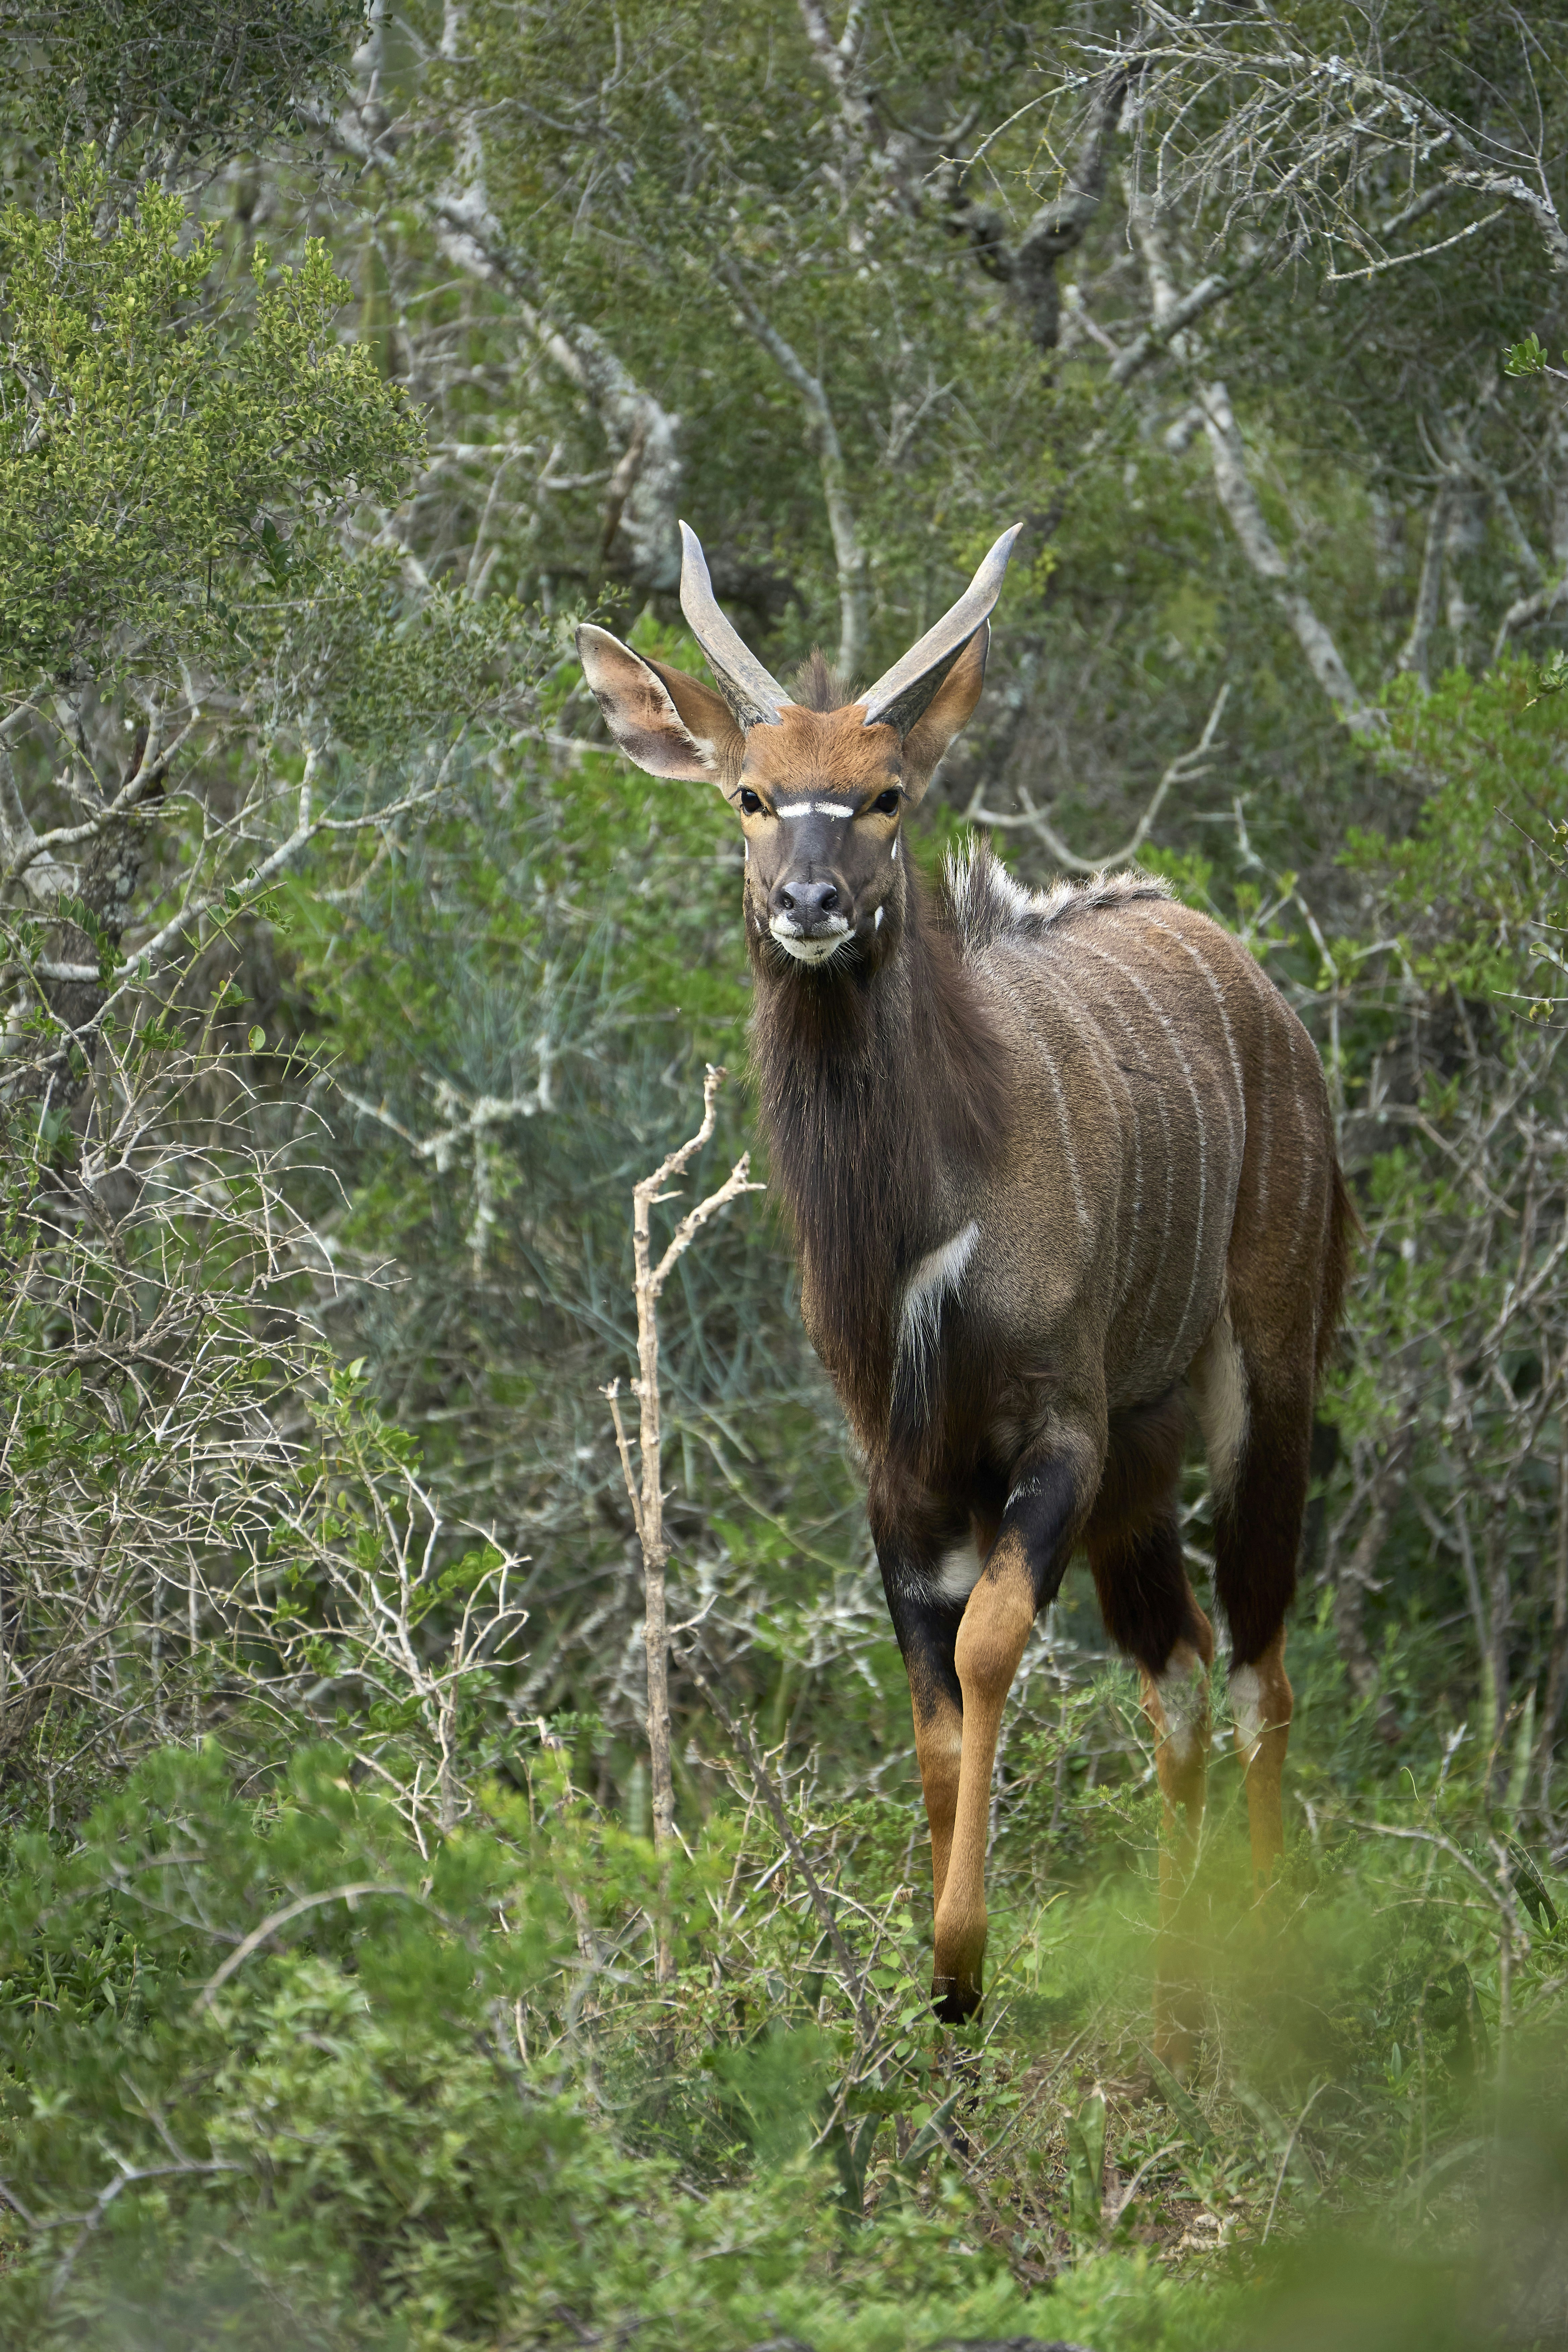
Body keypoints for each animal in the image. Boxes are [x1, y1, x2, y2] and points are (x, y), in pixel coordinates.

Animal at [578, 523, 1350, 2041]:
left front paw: (960, 1953)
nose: (810, 904)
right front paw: (940, 1993)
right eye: (752, 794)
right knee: (1177, 1670)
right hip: (1145, 1462)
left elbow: (991, 1648)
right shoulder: (902, 1464)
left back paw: (1257, 1962)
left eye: (884, 796)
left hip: (1257, 1386)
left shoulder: (1055, 1425)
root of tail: (1270, 1007)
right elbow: (931, 1705)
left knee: (1255, 1667)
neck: (926, 1210)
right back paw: (1171, 1985)